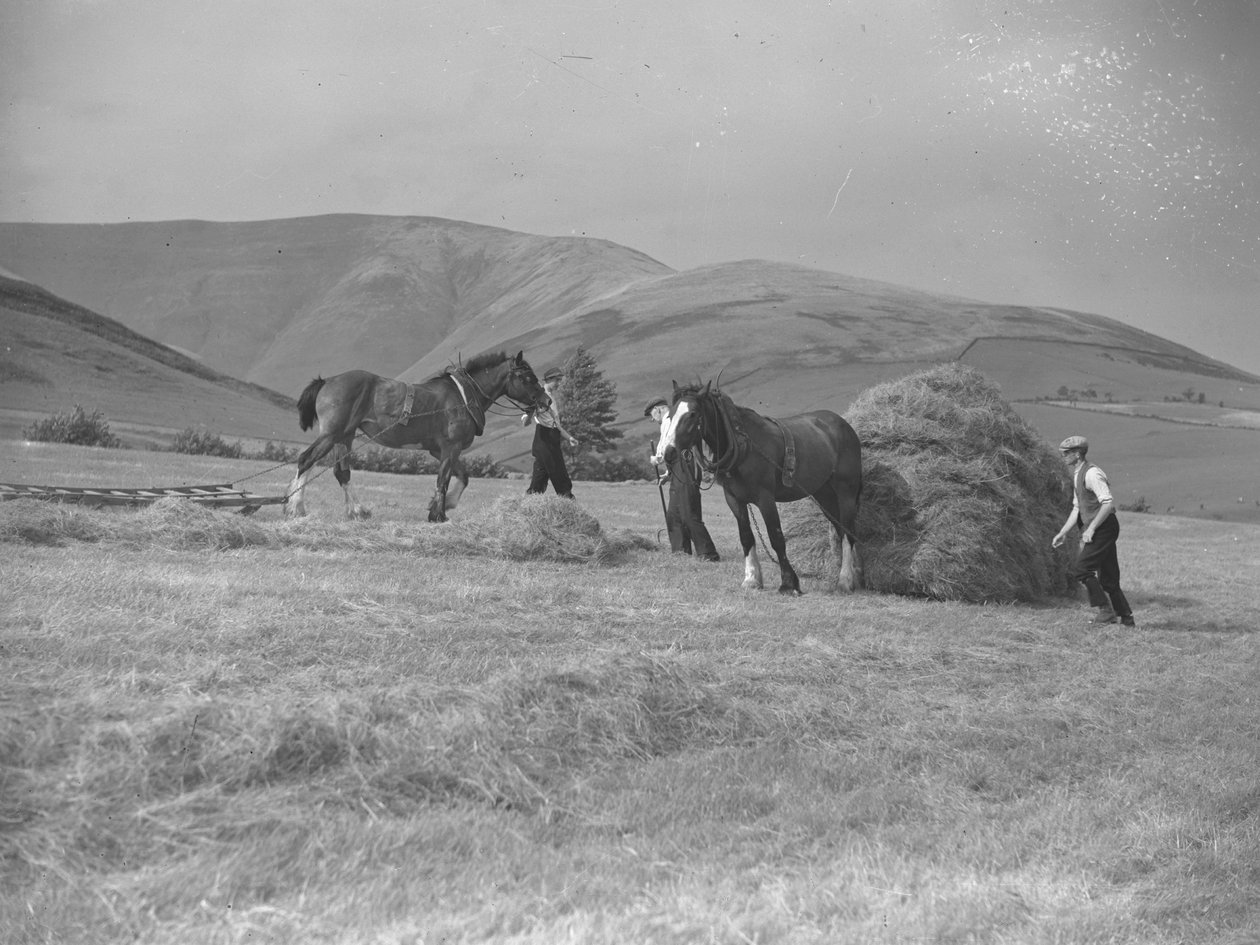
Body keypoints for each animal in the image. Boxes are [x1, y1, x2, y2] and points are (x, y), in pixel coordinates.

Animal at [286, 350, 549, 522]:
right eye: (527, 378)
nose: (547, 401)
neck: (462, 396)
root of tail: (327, 381)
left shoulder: (440, 450)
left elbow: (463, 477)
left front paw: (444, 505)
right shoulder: (450, 447)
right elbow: (443, 480)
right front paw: (439, 514)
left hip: (345, 437)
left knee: (342, 473)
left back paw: (357, 511)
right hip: (332, 435)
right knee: (306, 460)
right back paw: (296, 507)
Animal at [652, 380, 862, 594]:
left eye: (693, 414)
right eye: (670, 414)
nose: (667, 452)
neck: (743, 445)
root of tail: (844, 425)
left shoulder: (765, 498)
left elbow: (776, 537)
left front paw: (788, 583)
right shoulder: (734, 499)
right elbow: (746, 536)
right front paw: (752, 579)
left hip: (846, 492)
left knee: (848, 533)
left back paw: (845, 580)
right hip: (824, 495)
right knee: (840, 529)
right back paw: (852, 575)